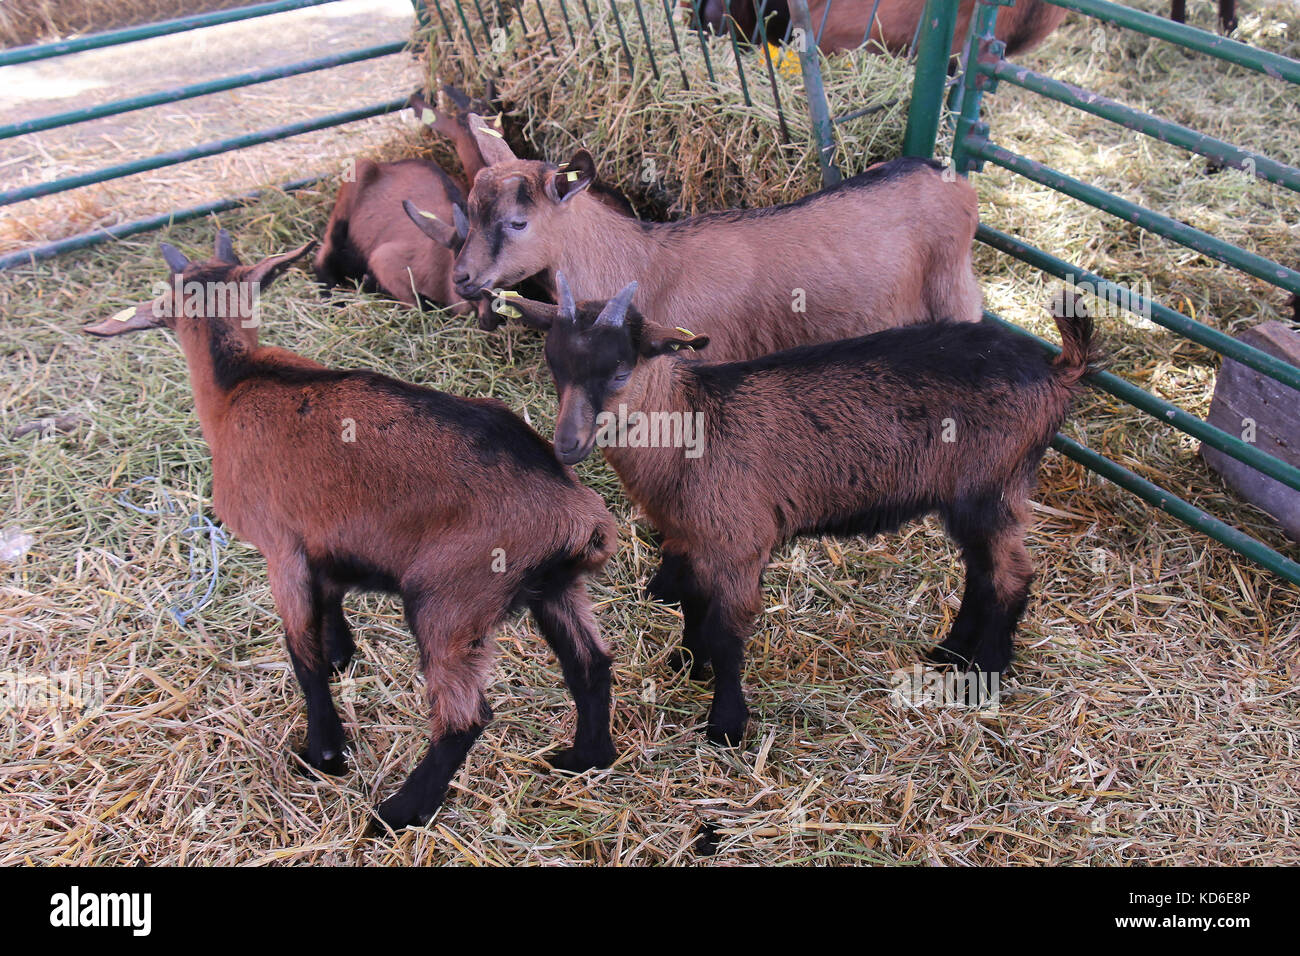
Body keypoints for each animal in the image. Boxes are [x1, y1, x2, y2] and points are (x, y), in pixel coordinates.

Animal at [85, 232, 618, 831]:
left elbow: (301, 651)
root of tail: (577, 512)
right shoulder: (323, 539)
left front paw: (324, 752)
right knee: (591, 666)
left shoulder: (282, 547)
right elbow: (330, 600)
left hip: (449, 600)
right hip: (553, 588)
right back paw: (582, 758)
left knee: (464, 718)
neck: (238, 383)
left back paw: (397, 813)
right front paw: (343, 653)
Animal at [451, 137, 982, 362]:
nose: (461, 278)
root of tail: (950, 178)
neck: (646, 264)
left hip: (953, 293)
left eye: (518, 222)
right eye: (471, 208)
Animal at [535, 273, 1096, 744]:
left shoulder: (740, 541)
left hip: (991, 488)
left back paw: (987, 674)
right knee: (981, 571)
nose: (565, 445)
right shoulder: (693, 537)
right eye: (554, 364)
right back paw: (950, 653)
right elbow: (693, 604)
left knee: (1011, 575)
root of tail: (1058, 370)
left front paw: (725, 725)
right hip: (971, 497)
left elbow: (726, 631)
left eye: (620, 370)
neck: (692, 425)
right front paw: (687, 665)